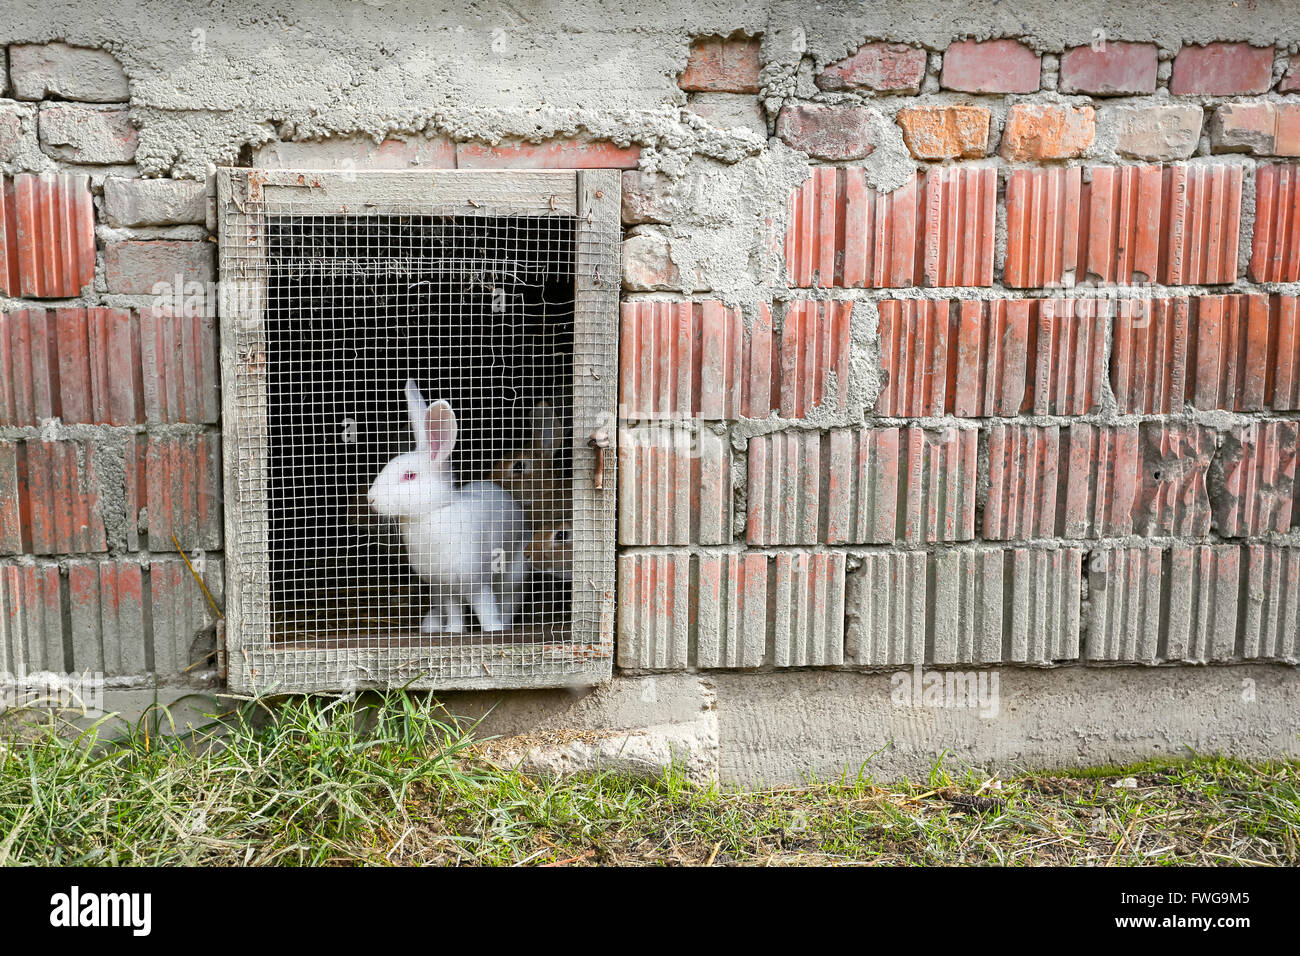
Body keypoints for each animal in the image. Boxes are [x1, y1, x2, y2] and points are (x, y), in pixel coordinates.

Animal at [367, 380, 529, 634]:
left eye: (409, 475)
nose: (370, 499)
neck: (433, 512)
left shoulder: (476, 582)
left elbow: (486, 608)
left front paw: (492, 629)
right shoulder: (445, 587)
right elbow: (454, 611)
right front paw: (453, 632)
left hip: (513, 571)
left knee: (509, 600)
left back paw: (504, 625)